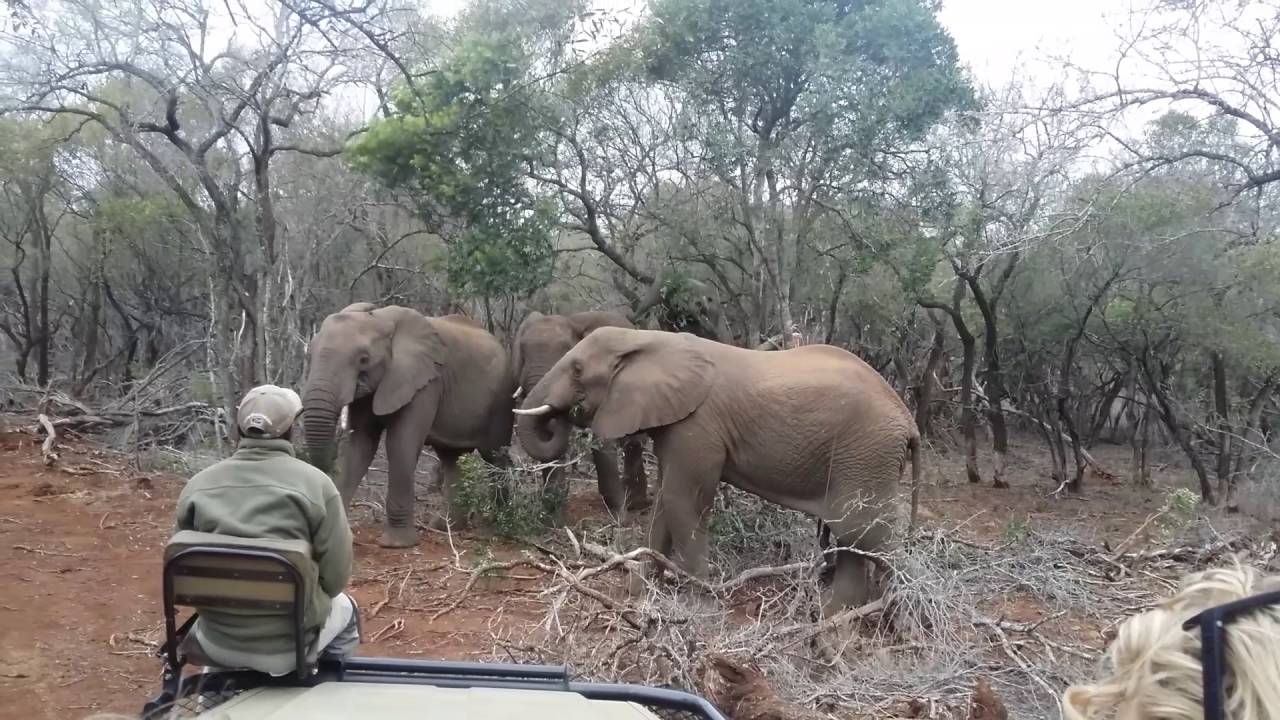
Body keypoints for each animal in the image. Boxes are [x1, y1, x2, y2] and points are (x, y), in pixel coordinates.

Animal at [301, 302, 516, 548]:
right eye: (310, 353)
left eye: (364, 359)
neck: (380, 319)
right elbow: (360, 445)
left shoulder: (425, 382)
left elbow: (400, 443)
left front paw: (396, 544)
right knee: (453, 458)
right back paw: (444, 527)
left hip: (502, 396)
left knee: (495, 456)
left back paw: (495, 529)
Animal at [512, 310, 650, 517]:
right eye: (522, 354)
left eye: (567, 356)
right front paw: (553, 514)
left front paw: (619, 515)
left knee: (634, 442)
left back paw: (636, 504)